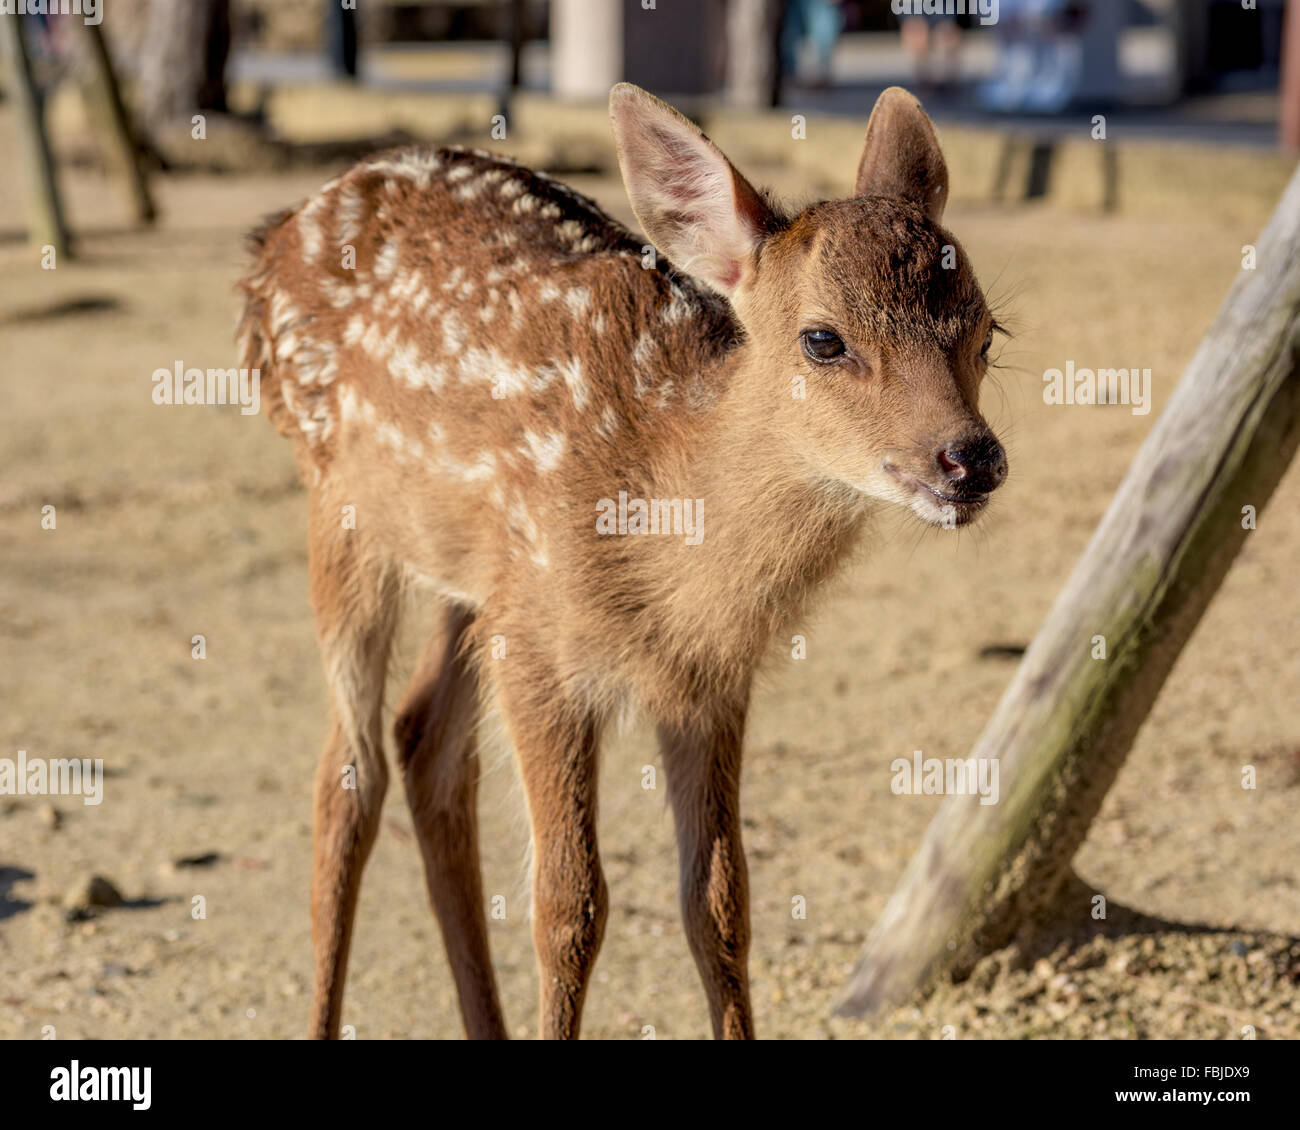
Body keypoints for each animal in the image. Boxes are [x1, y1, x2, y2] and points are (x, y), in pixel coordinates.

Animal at [237, 83, 1008, 1041]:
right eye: (823, 340)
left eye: (986, 330)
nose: (970, 459)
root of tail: (271, 242)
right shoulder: (543, 652)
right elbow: (569, 907)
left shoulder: (705, 679)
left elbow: (721, 901)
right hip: (341, 511)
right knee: (347, 776)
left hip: (471, 573)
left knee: (425, 742)